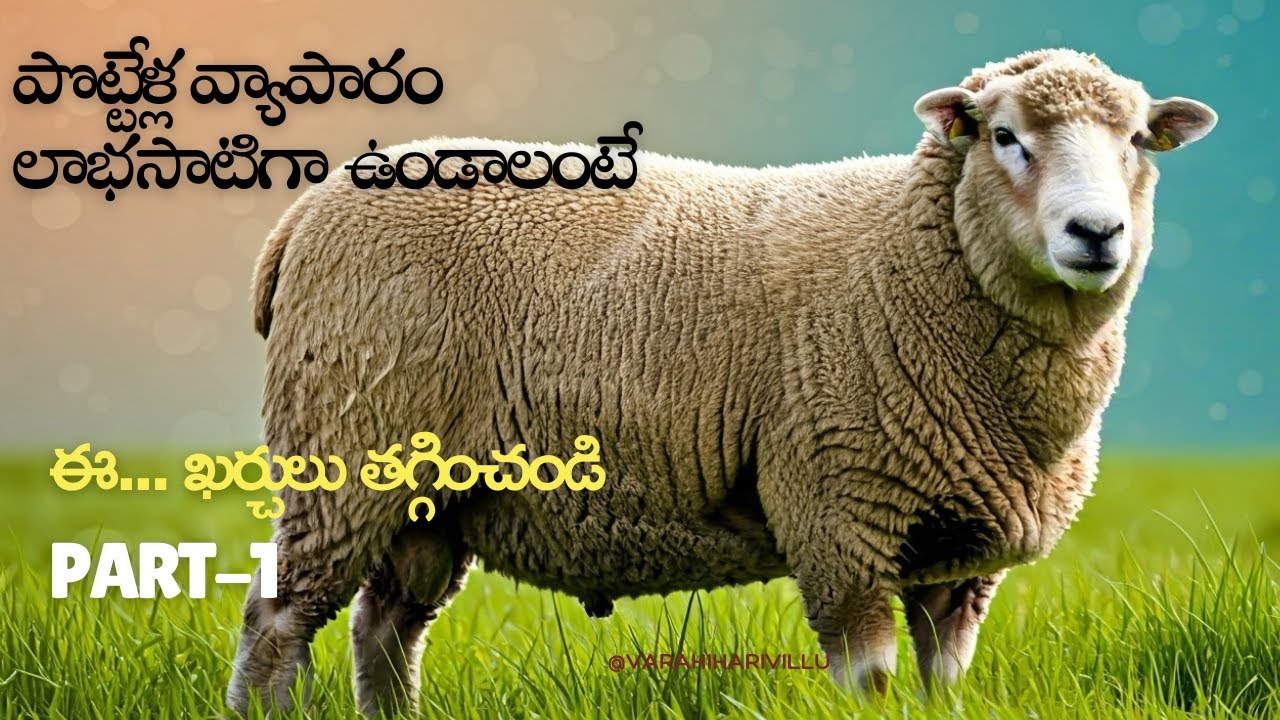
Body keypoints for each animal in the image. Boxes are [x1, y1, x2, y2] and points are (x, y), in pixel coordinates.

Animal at [226, 48, 1217, 716]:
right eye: (1005, 137)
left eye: (1138, 140)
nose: (1097, 234)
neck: (915, 258)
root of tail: (301, 214)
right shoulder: (839, 510)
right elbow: (870, 680)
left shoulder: (960, 553)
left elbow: (943, 685)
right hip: (351, 448)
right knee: (279, 617)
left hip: (437, 495)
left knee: (385, 626)